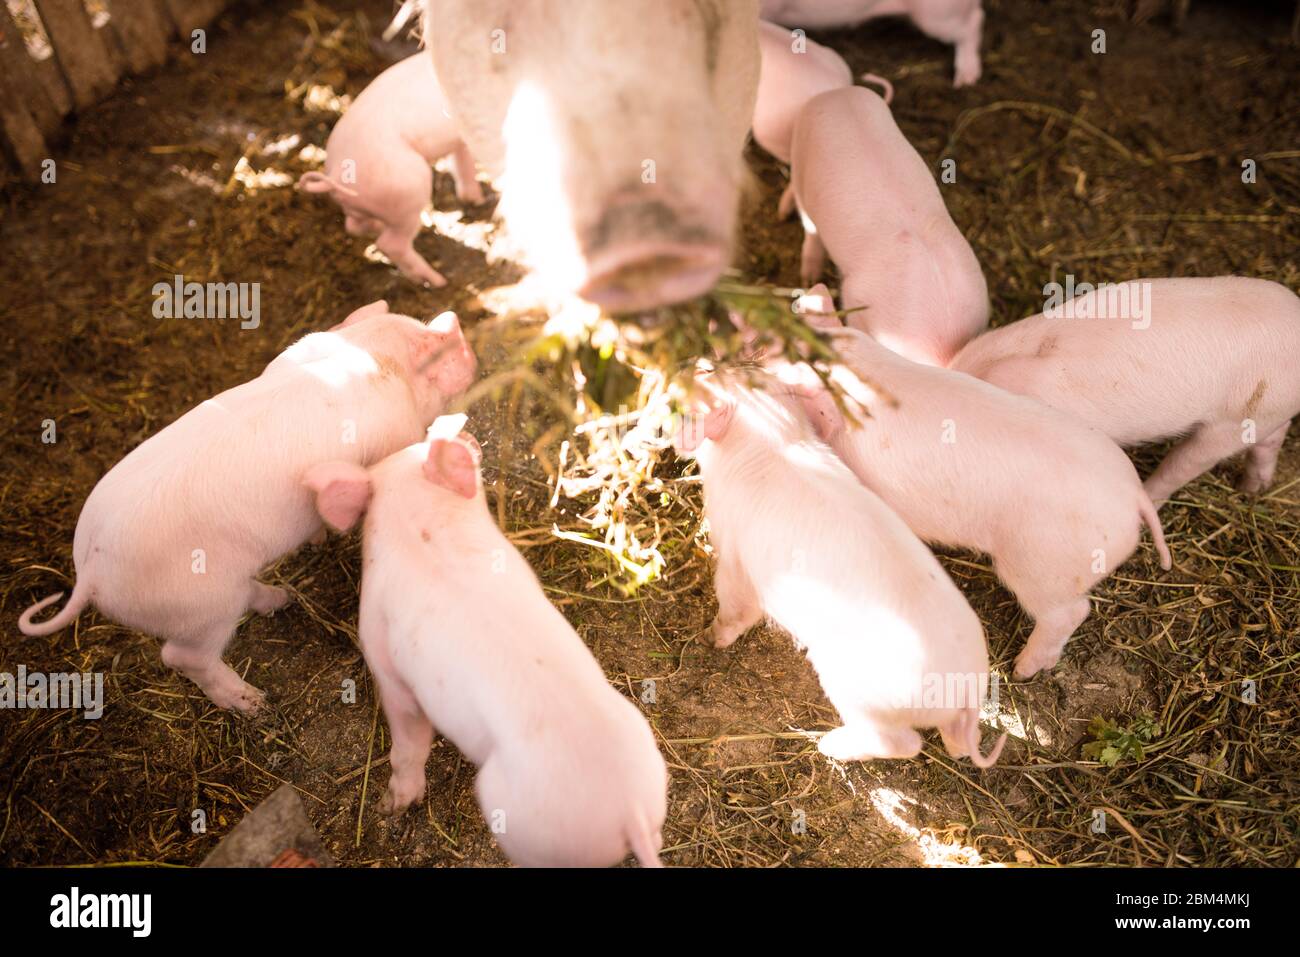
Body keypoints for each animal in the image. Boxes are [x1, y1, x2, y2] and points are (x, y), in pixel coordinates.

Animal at [18, 303, 478, 714]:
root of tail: (90, 574)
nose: (456, 327)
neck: (374, 356)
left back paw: (283, 599)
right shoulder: (390, 440)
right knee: (181, 657)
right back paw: (254, 703)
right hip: (200, 606)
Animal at [298, 54, 483, 288]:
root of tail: (336, 174)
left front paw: (475, 199)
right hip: (410, 192)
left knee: (354, 226)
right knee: (390, 244)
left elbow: (462, 161)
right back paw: (436, 281)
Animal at [302, 416, 668, 867]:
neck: (421, 535)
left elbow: (407, 737)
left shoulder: (382, 651)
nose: (466, 434)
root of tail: (630, 811)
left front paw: (392, 806)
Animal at [677, 372, 1006, 765]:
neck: (774, 437)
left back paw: (827, 745)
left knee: (903, 743)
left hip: (859, 691)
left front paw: (710, 639)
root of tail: (963, 691)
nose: (696, 368)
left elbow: (736, 608)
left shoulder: (735, 559)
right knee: (957, 744)